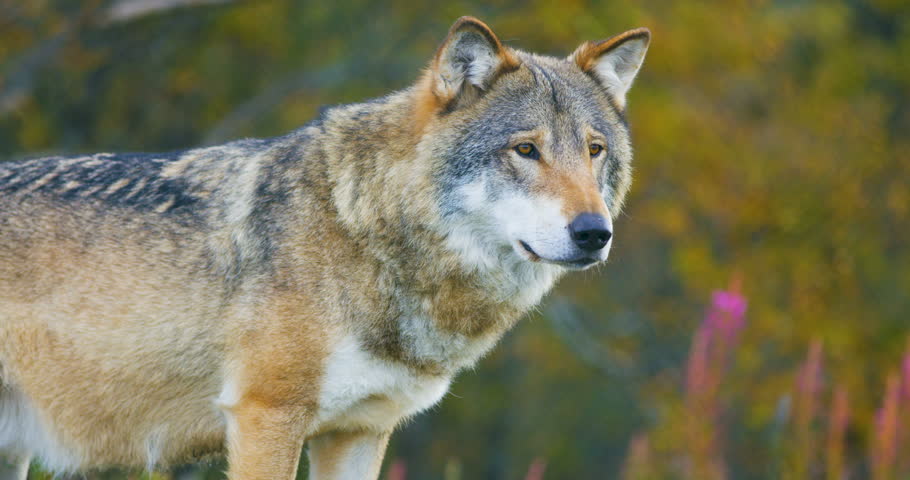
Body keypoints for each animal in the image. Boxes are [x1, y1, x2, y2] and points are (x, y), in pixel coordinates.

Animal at [0, 17, 649, 480]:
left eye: (593, 150)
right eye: (525, 150)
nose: (594, 232)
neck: (359, 231)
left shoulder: (360, 431)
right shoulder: (266, 416)